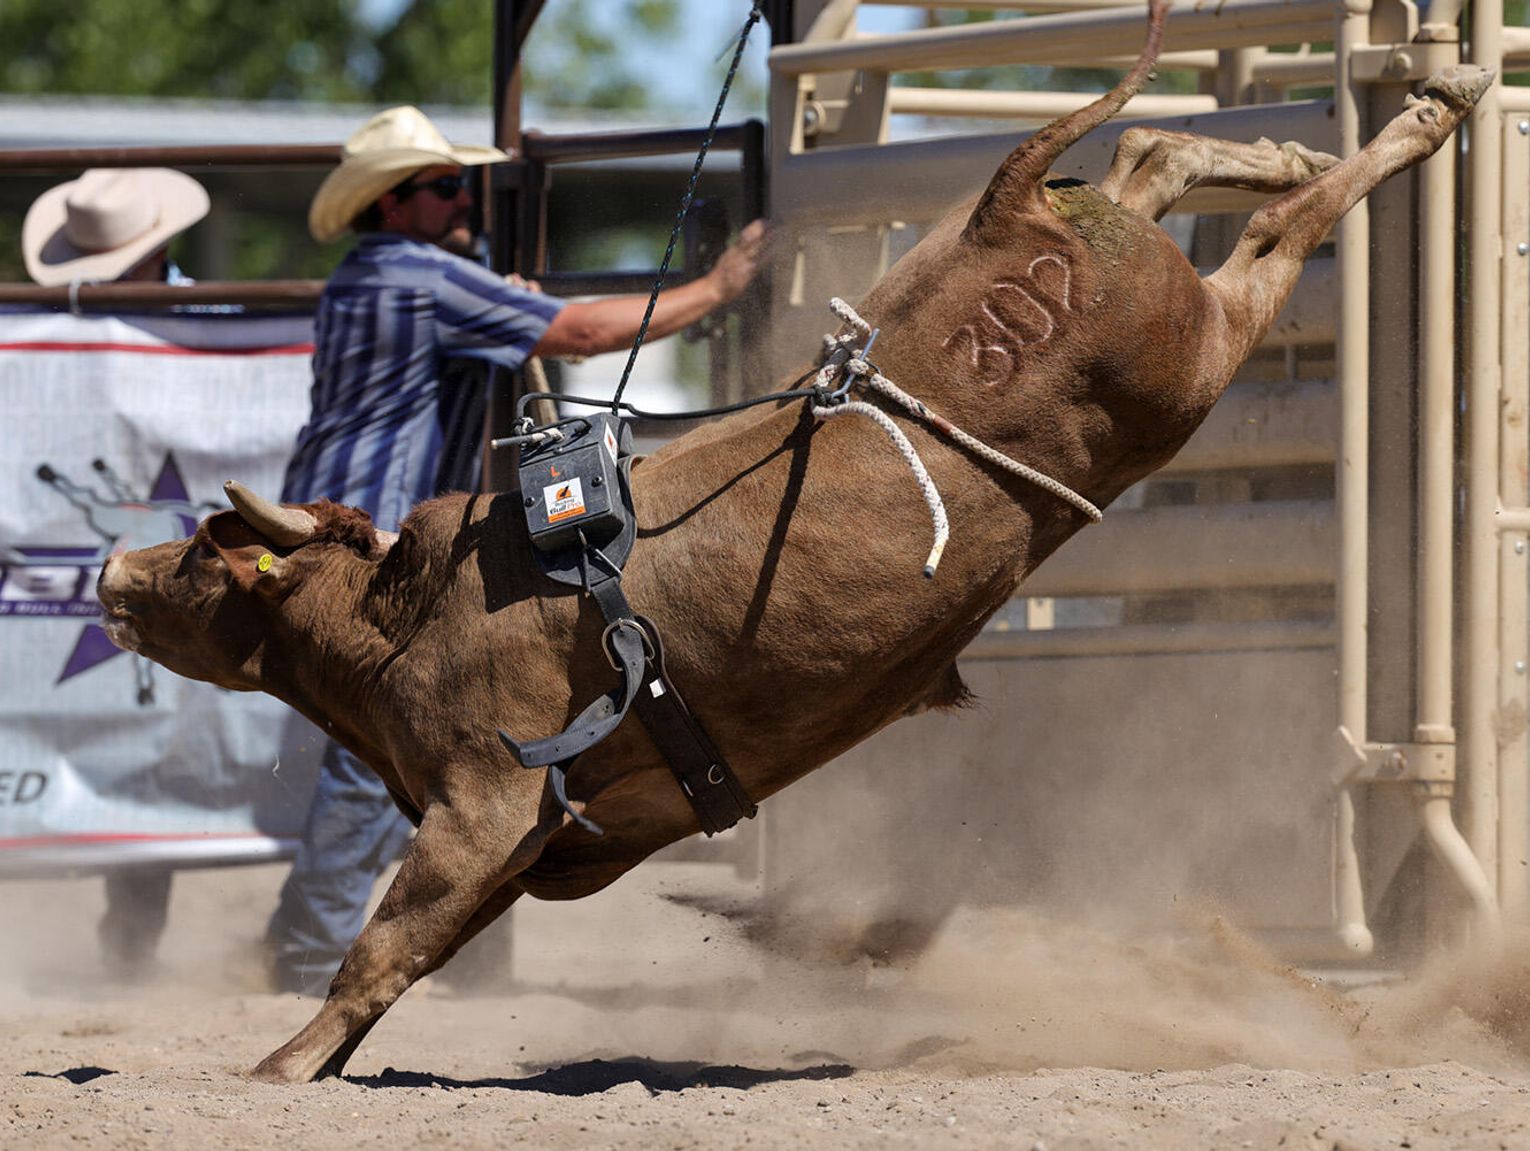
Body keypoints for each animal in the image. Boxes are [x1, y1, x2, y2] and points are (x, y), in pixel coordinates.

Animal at [96, 0, 1491, 1083]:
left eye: (208, 547)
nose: (108, 569)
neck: (401, 615)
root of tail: (998, 212)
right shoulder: (529, 838)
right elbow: (411, 954)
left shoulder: (484, 803)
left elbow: (387, 941)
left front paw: (275, 1066)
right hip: (1112, 289)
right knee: (1141, 158)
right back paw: (1272, 136)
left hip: (1185, 361)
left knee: (1276, 241)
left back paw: (1430, 107)